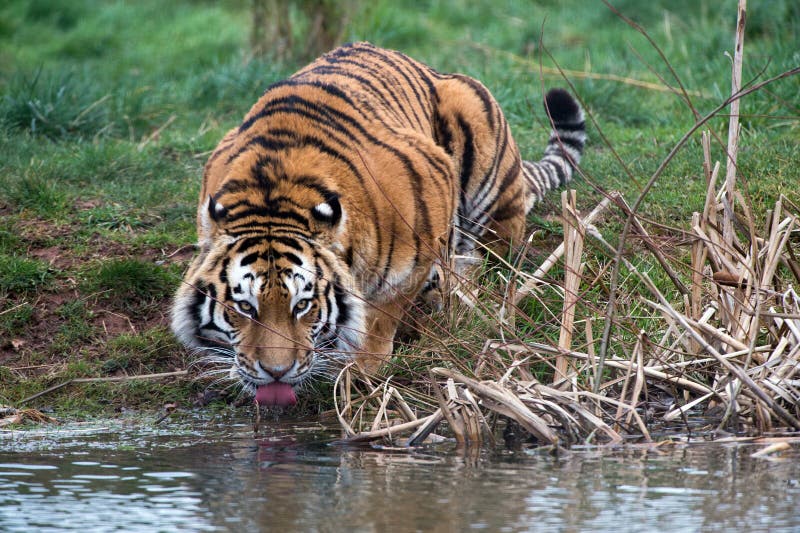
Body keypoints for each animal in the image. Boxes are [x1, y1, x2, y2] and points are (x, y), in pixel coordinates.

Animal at [171, 42, 585, 407]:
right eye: (245, 307)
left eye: (303, 305)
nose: (276, 372)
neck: (273, 194)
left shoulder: (423, 220)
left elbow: (381, 313)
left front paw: (364, 367)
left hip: (484, 161)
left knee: (489, 257)